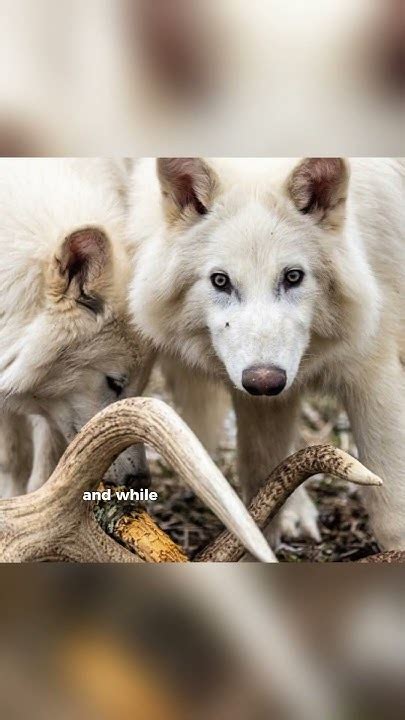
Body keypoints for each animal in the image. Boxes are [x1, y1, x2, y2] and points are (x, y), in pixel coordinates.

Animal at [128, 156, 405, 551]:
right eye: (220, 281)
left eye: (293, 277)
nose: (264, 381)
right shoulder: (258, 396)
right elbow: (261, 478)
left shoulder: (375, 373)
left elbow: (391, 515)